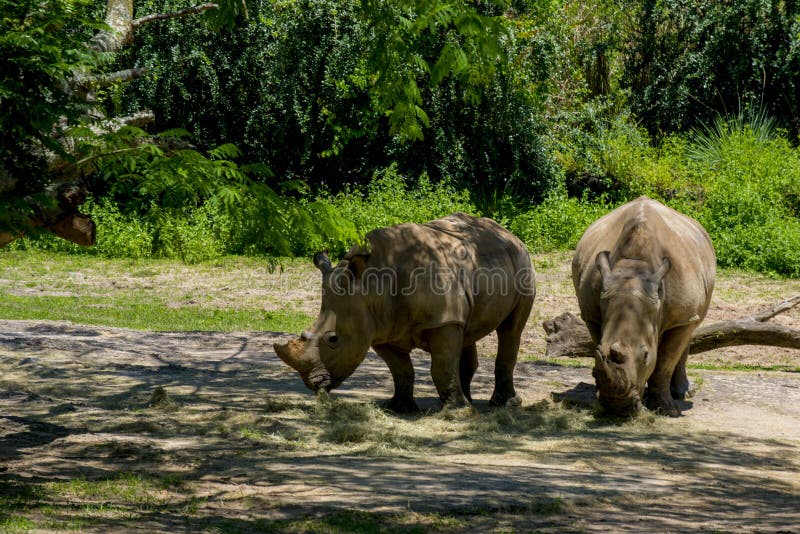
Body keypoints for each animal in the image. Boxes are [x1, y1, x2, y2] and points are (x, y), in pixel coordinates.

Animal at [274, 213, 535, 412]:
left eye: (333, 339)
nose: (313, 384)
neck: (372, 286)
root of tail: (506, 232)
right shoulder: (381, 328)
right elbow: (401, 370)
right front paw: (399, 408)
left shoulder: (440, 321)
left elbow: (441, 366)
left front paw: (458, 414)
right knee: (466, 329)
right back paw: (465, 400)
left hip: (522, 262)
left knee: (511, 330)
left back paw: (502, 405)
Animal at [572, 196, 715, 416]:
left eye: (646, 355)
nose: (617, 408)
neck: (635, 268)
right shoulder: (592, 313)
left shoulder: (682, 316)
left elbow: (664, 362)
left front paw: (666, 409)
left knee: (691, 327)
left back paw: (683, 393)